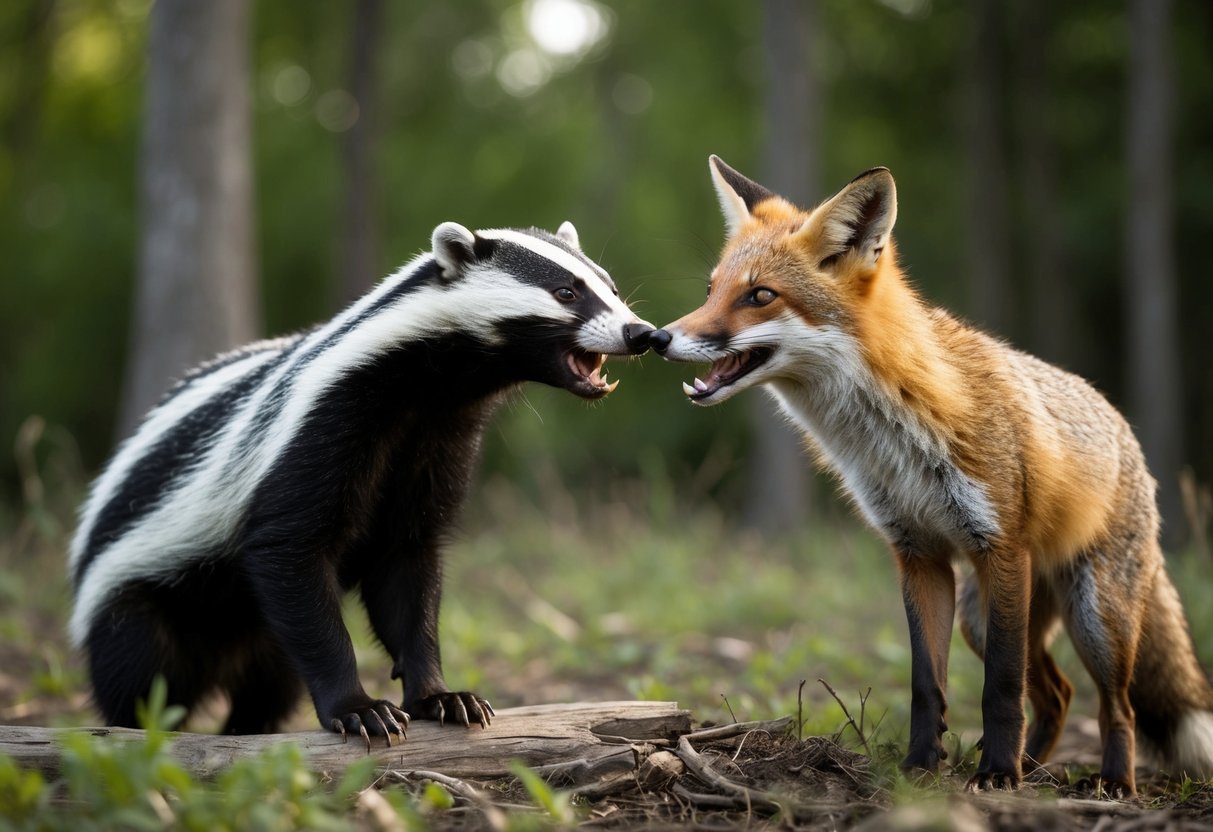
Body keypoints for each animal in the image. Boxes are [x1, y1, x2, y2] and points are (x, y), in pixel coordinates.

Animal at [649, 155, 1213, 795]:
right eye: (711, 290)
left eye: (760, 295)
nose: (660, 337)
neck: (892, 433)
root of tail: (1123, 427)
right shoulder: (918, 553)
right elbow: (927, 684)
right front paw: (922, 769)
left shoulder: (1000, 548)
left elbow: (1000, 688)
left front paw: (997, 773)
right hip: (980, 616)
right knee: (1059, 694)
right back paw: (1036, 767)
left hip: (1094, 617)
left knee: (1117, 706)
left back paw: (1110, 783)